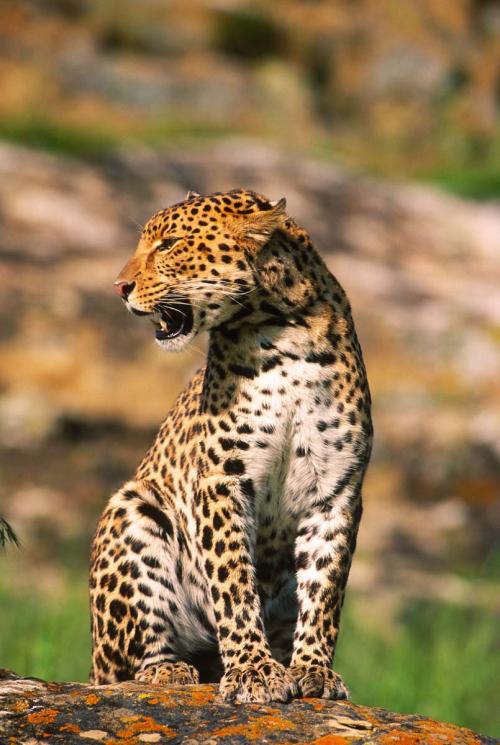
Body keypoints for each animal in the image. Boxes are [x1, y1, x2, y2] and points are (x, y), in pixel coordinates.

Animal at [89, 188, 372, 704]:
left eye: (169, 244)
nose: (119, 286)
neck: (283, 332)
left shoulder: (336, 490)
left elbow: (324, 588)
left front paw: (314, 670)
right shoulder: (223, 480)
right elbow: (234, 581)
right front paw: (253, 671)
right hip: (133, 510)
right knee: (126, 665)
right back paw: (170, 671)